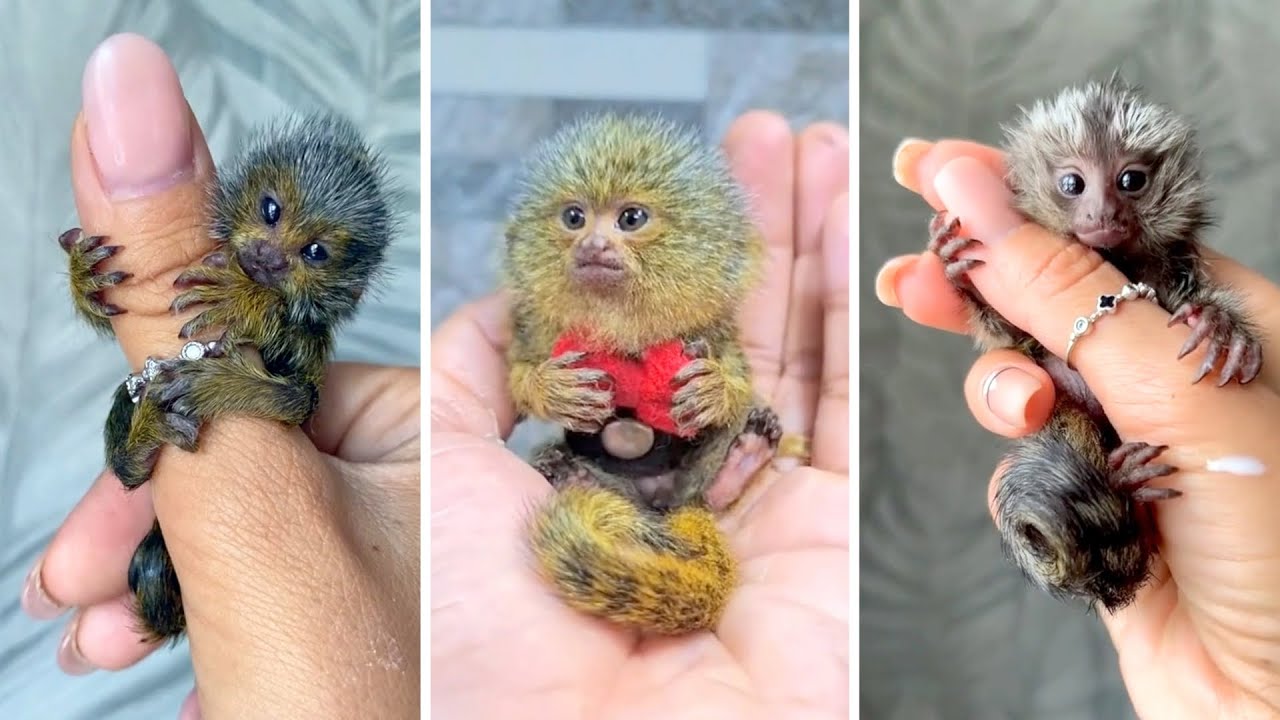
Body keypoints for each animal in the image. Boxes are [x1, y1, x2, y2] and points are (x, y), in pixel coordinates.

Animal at [58, 111, 397, 643]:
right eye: (271, 210)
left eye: (315, 252)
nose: (268, 257)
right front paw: (82, 278)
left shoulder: (310, 336)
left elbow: (297, 368)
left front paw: (245, 299)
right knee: (129, 457)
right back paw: (139, 442)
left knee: (294, 397)